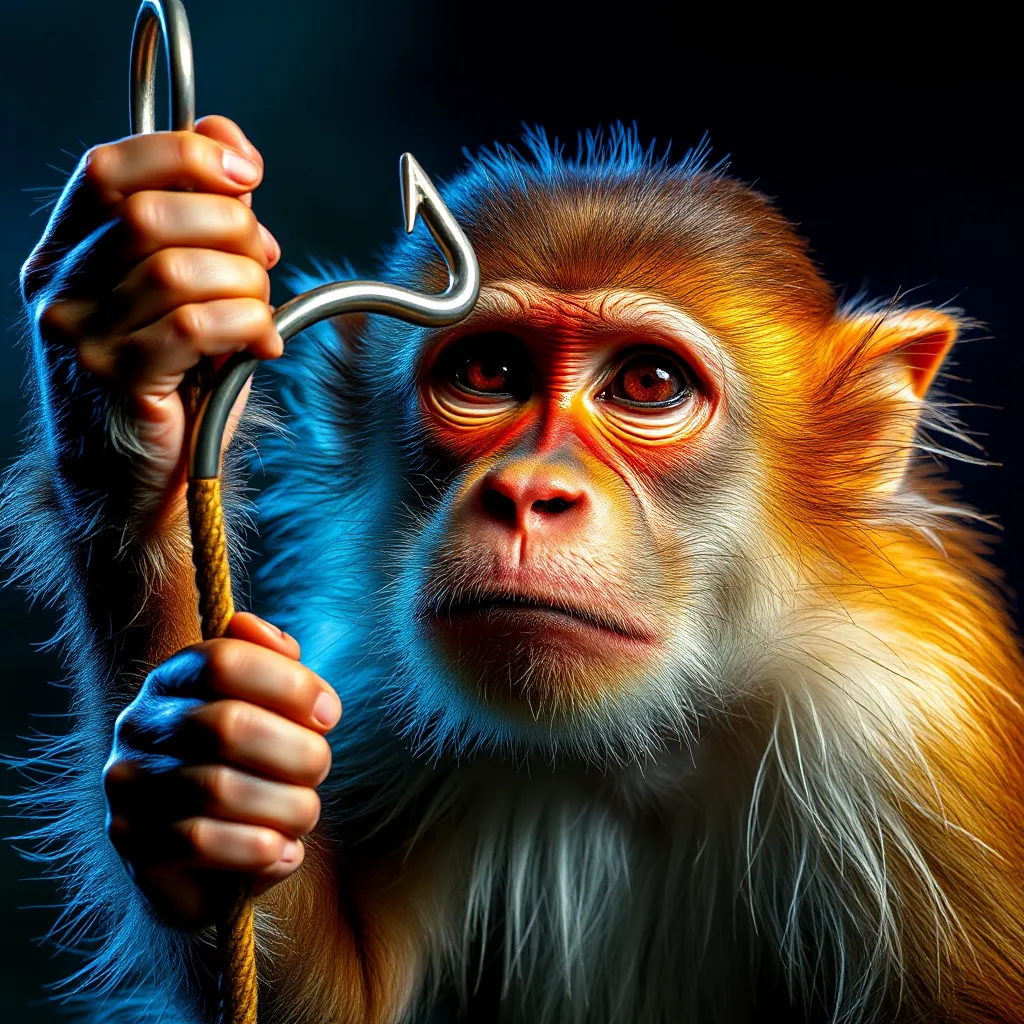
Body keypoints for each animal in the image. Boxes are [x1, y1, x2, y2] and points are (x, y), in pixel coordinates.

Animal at [6, 115, 1024, 1024]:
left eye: (650, 383)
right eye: (490, 371)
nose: (531, 493)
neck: (646, 733)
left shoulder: (903, 732)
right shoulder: (377, 694)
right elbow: (345, 1002)